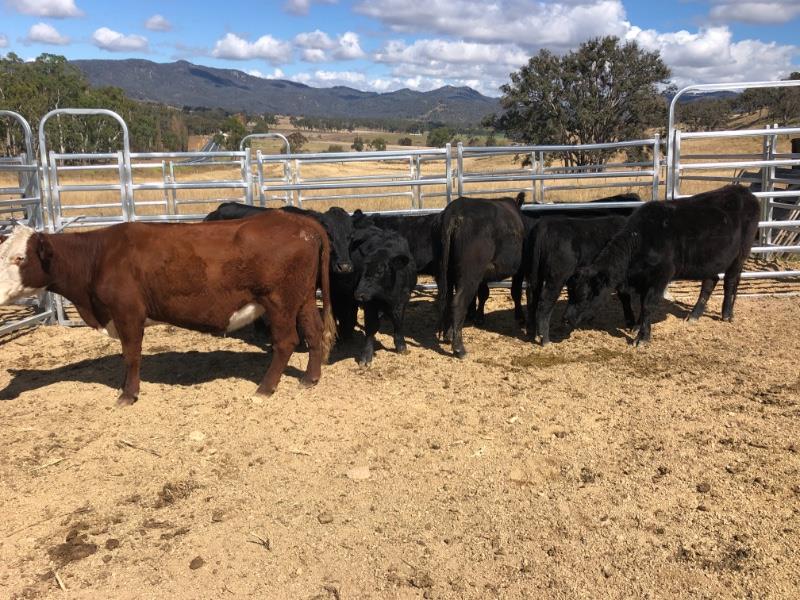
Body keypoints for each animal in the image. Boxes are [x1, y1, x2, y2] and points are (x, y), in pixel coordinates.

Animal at [0, 213, 336, 404]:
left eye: (20, 258)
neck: (99, 256)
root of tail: (301, 222)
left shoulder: (128, 312)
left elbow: (131, 355)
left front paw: (128, 394)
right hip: (304, 298)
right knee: (314, 333)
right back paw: (310, 378)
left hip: (279, 301)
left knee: (286, 342)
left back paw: (265, 388)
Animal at [333, 221, 417, 365]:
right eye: (361, 270)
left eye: (379, 271)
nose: (359, 293)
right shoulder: (370, 303)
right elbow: (372, 326)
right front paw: (366, 356)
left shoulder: (403, 299)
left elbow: (398, 322)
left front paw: (401, 346)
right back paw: (345, 335)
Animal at [436, 192, 526, 358]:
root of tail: (456, 209)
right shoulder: (520, 268)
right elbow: (516, 292)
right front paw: (520, 317)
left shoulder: (483, 274)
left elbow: (483, 293)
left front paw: (479, 317)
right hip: (470, 273)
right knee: (458, 302)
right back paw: (459, 348)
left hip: (451, 273)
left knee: (449, 300)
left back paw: (448, 334)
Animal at [525, 215, 635, 346]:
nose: (566, 320)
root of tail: (545, 223)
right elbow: (625, 296)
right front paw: (631, 324)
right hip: (556, 278)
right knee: (545, 303)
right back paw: (545, 339)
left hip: (535, 275)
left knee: (532, 298)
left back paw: (531, 332)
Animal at [564, 185, 760, 346]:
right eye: (570, 292)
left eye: (583, 295)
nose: (566, 319)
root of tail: (742, 190)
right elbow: (641, 303)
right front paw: (637, 326)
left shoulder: (660, 276)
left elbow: (648, 304)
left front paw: (642, 337)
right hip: (709, 261)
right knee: (710, 282)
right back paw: (694, 315)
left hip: (740, 255)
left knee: (730, 281)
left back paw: (727, 314)